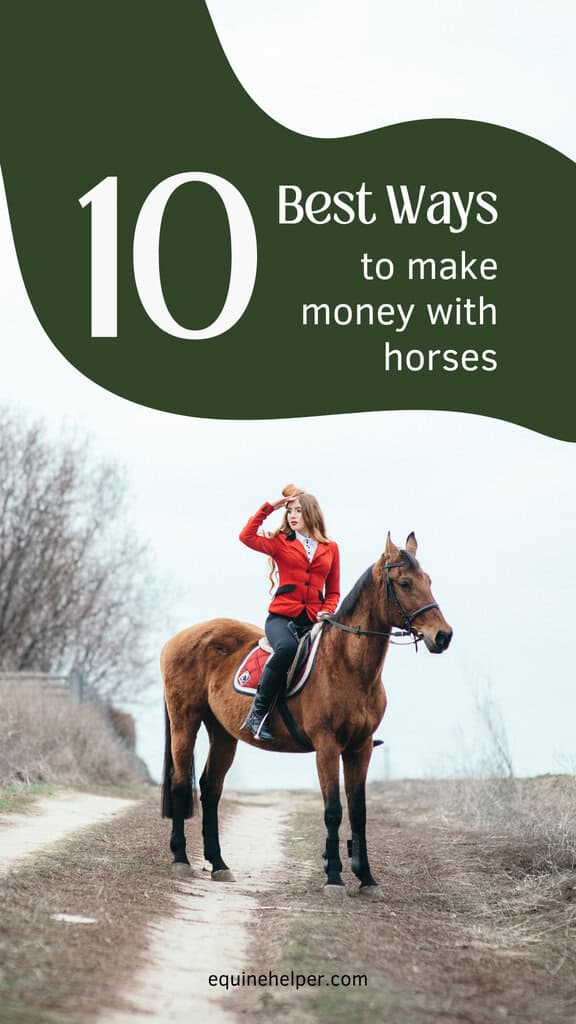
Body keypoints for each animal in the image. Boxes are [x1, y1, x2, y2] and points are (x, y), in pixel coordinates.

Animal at [160, 531, 452, 893]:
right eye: (405, 583)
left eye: (428, 580)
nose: (443, 636)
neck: (347, 663)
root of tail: (176, 639)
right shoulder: (327, 746)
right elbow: (333, 810)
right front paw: (334, 877)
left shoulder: (361, 748)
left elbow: (358, 811)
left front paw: (366, 877)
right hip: (184, 721)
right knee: (181, 783)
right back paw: (180, 860)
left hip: (223, 733)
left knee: (211, 788)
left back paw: (219, 864)